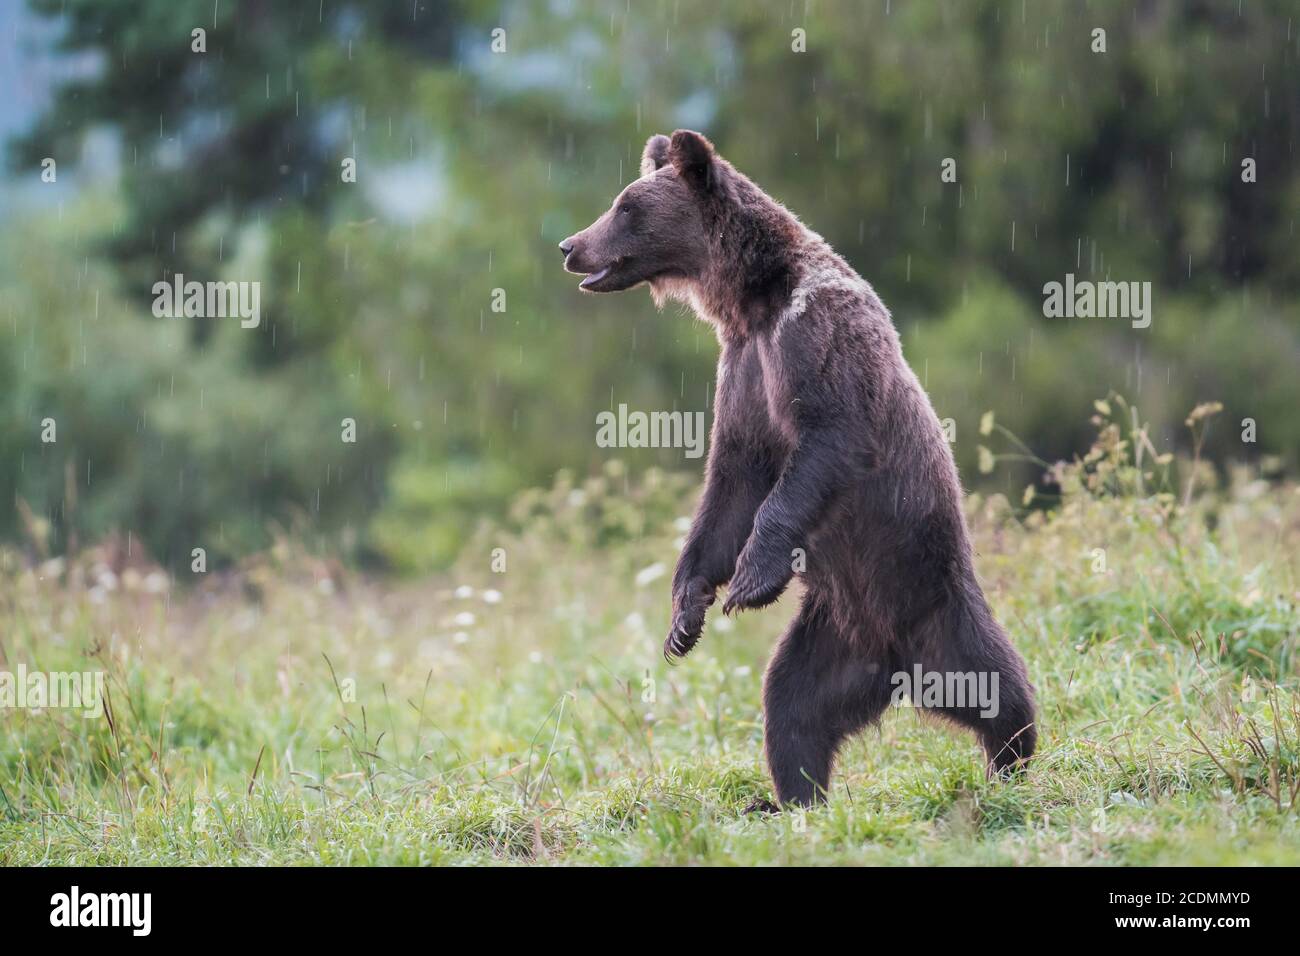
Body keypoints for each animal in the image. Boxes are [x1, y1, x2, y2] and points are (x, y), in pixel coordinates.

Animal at [559, 130, 1037, 808]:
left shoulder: (817, 337)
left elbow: (825, 443)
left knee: (995, 683)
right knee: (791, 706)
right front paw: (684, 616)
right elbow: (730, 485)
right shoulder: (743, 372)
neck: (753, 299)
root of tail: (897, 666)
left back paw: (1010, 759)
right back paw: (794, 796)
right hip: (831, 636)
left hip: (933, 597)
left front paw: (751, 579)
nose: (570, 246)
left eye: (626, 207)